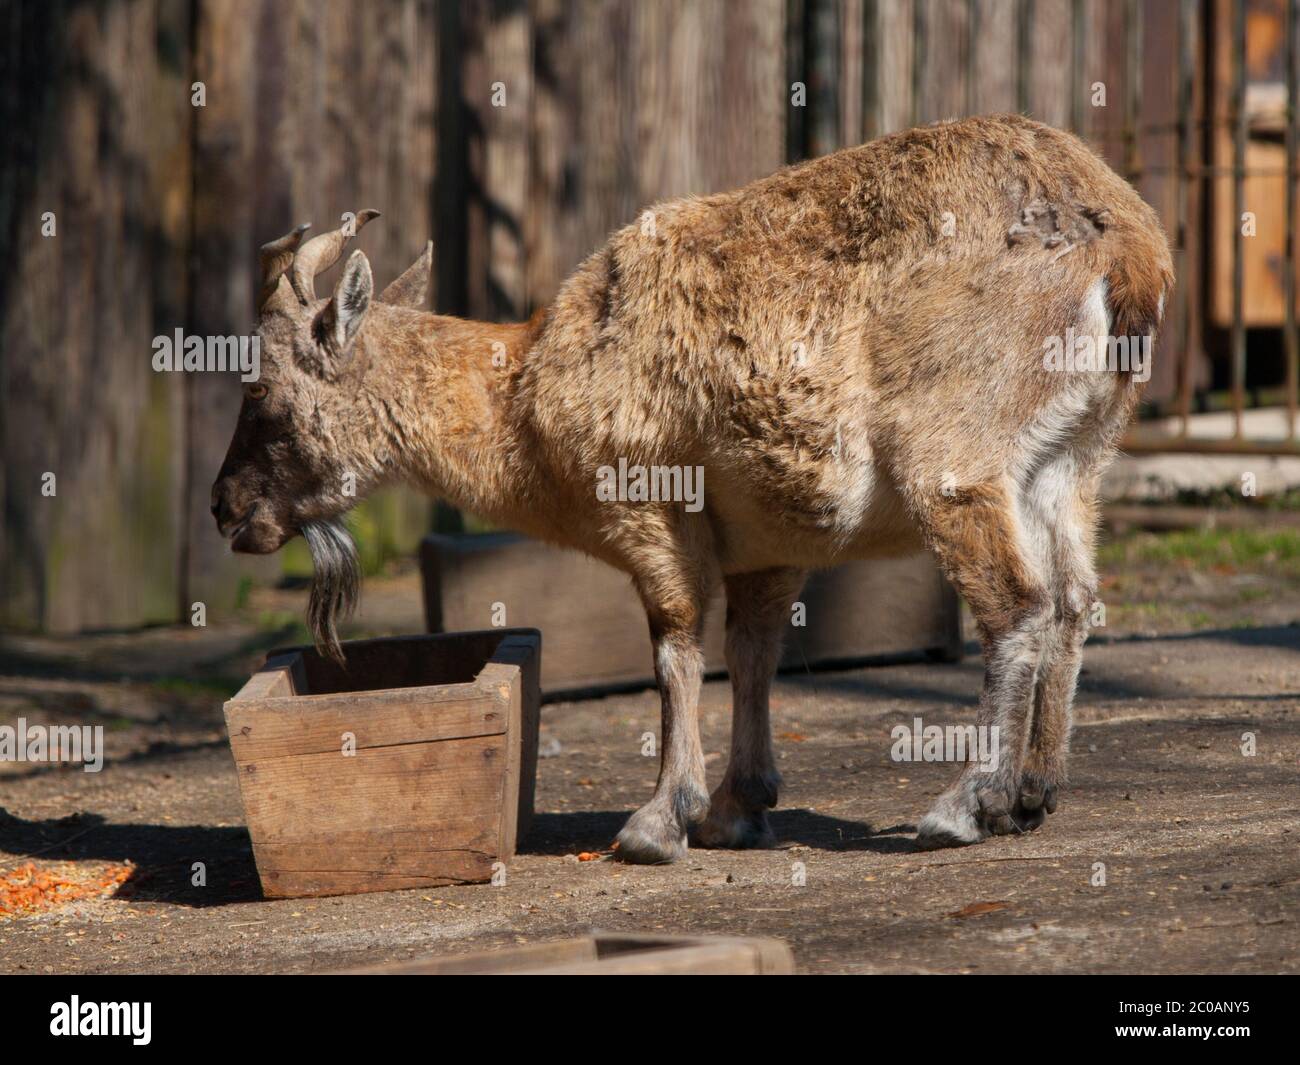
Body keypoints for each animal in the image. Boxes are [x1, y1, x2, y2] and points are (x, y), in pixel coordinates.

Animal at [212, 115, 1173, 862]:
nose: (226, 509)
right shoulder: (766, 540)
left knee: (1016, 601)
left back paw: (966, 802)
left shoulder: (648, 507)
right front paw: (736, 809)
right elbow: (751, 651)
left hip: (957, 452)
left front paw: (657, 820)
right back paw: (1033, 792)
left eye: (257, 389)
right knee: (1074, 598)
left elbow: (674, 646)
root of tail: (1127, 251)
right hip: (1071, 459)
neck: (529, 385)